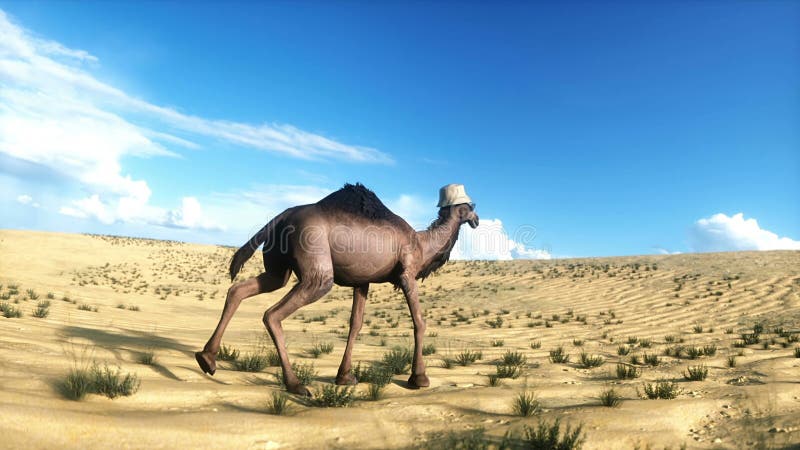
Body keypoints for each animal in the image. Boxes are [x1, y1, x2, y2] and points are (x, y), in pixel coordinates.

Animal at [195, 183, 479, 395]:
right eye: (470, 206)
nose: (476, 219)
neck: (422, 245)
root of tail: (282, 216)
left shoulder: (362, 281)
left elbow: (355, 324)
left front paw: (345, 376)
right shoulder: (407, 274)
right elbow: (419, 322)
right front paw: (419, 378)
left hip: (278, 269)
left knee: (239, 290)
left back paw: (207, 359)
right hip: (317, 269)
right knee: (272, 314)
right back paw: (295, 384)